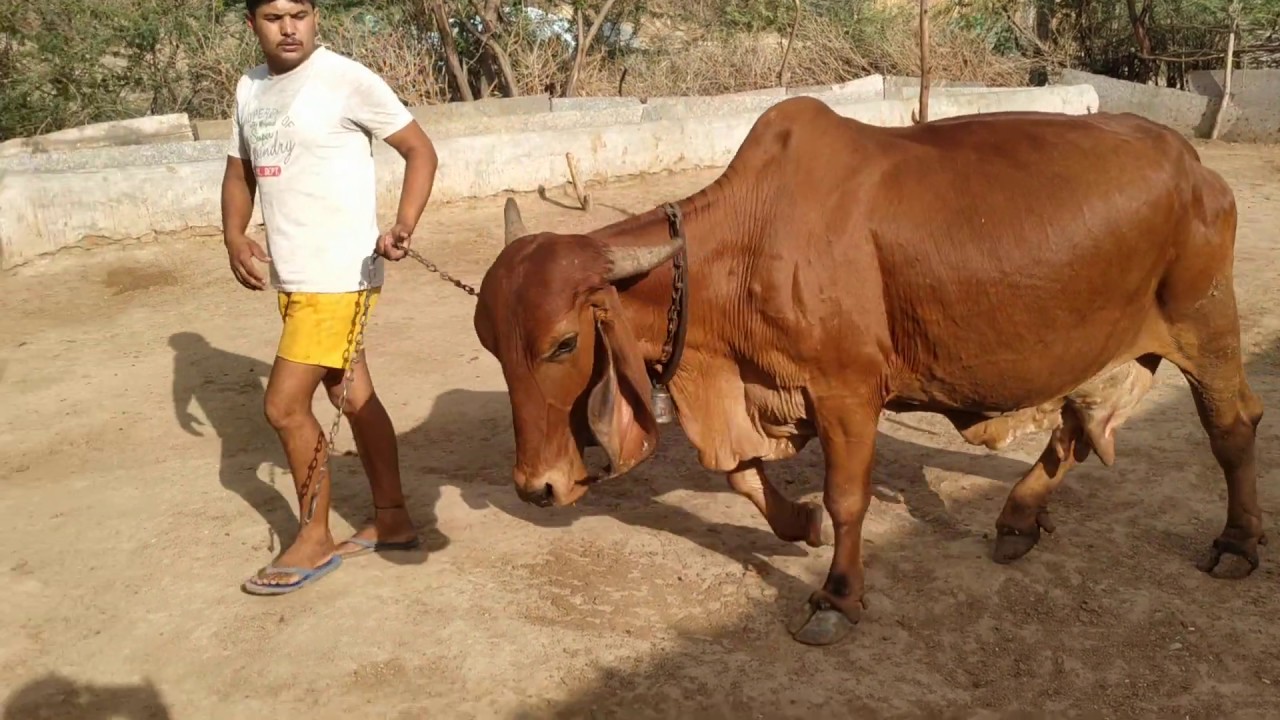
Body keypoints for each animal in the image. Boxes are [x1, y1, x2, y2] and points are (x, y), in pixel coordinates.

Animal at [471, 95, 1264, 646]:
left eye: (562, 346)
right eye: (492, 344)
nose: (536, 487)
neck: (744, 243)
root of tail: (1194, 164)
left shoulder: (847, 392)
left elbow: (848, 497)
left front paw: (838, 596)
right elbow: (740, 475)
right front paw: (800, 524)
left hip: (1206, 324)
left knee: (1232, 426)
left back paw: (1236, 543)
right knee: (1075, 425)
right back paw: (1018, 518)